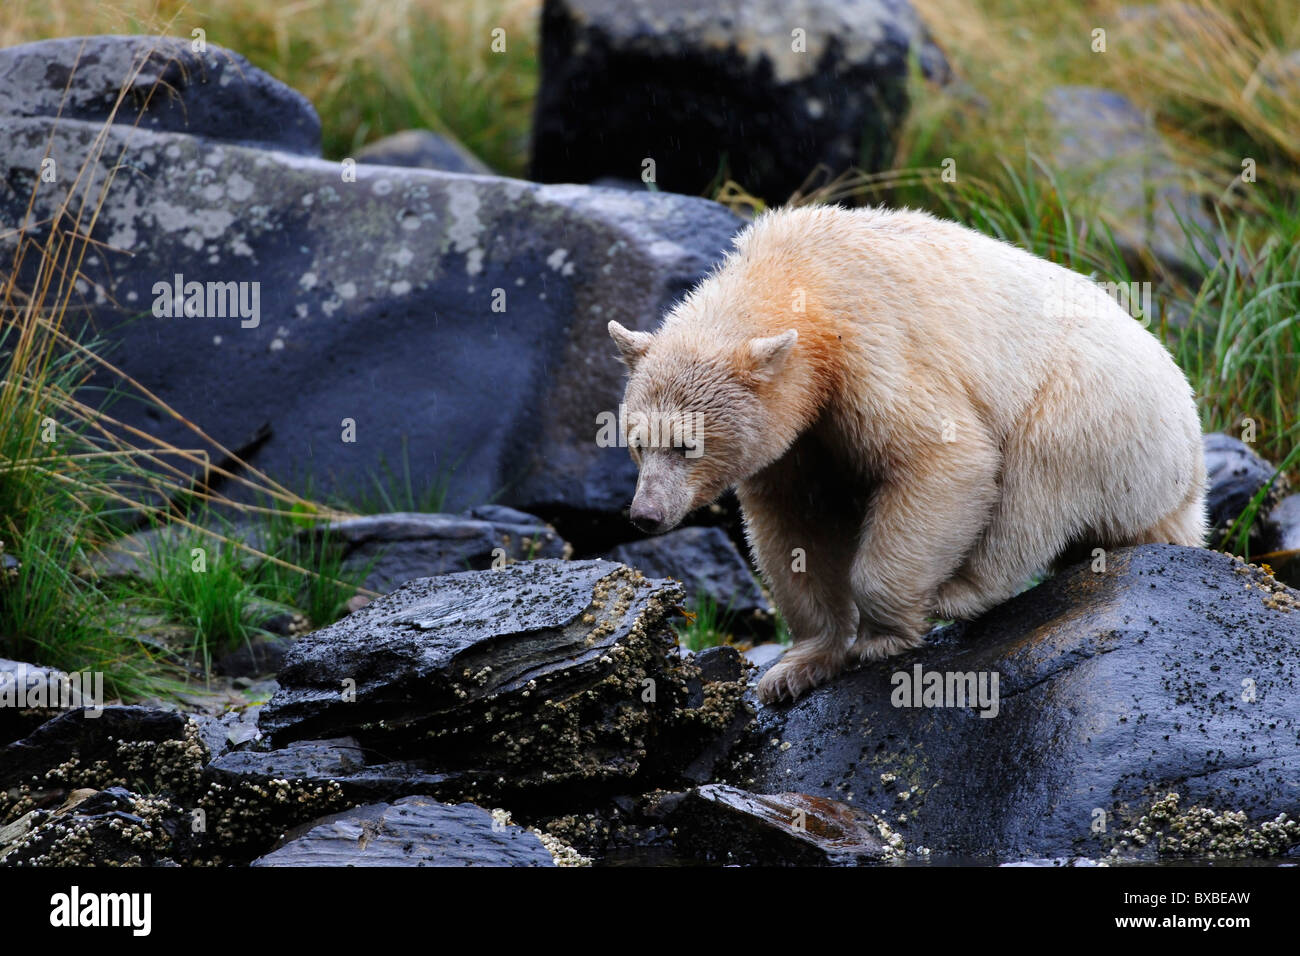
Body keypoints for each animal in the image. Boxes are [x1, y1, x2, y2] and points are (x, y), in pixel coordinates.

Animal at [607, 204, 1207, 704]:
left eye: (687, 443)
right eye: (635, 441)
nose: (646, 515)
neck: (800, 276)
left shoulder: (873, 349)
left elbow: (943, 458)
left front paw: (882, 636)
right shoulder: (798, 440)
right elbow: (794, 526)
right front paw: (794, 668)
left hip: (1089, 406)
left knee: (1034, 488)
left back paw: (959, 592)